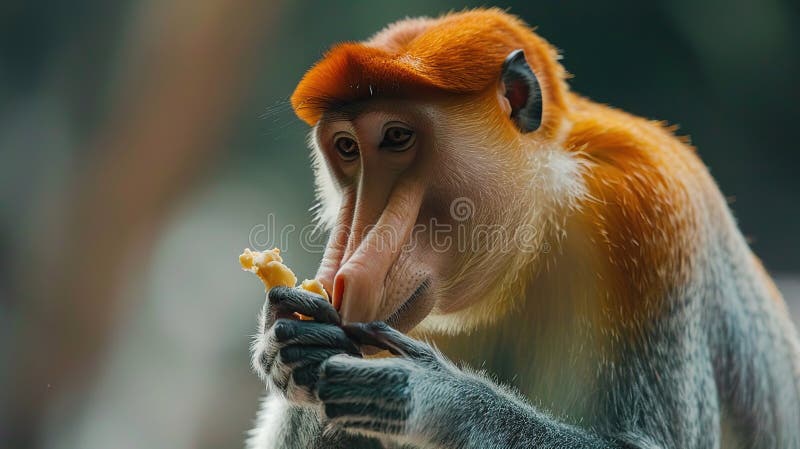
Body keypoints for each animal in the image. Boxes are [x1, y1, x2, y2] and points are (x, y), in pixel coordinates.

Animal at [245, 8, 800, 449]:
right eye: (347, 148)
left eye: (397, 136)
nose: (347, 277)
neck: (535, 232)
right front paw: (295, 339)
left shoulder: (647, 210)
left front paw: (429, 394)